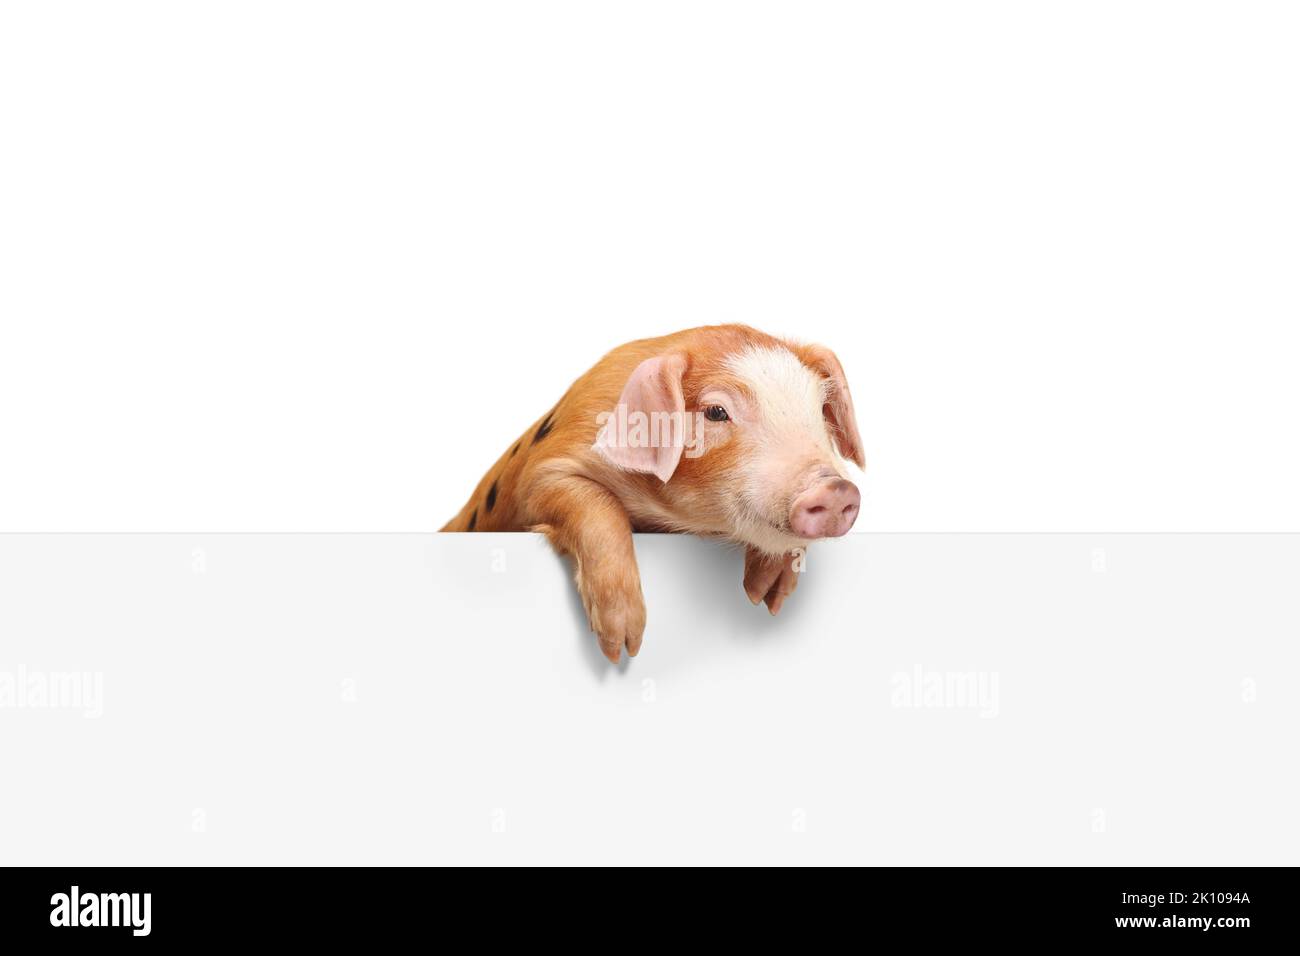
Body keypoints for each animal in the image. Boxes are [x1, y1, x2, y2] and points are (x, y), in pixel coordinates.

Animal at [441, 324, 864, 662]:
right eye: (715, 412)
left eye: (820, 408)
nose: (836, 488)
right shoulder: (542, 474)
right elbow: (596, 505)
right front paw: (622, 646)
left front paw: (764, 597)